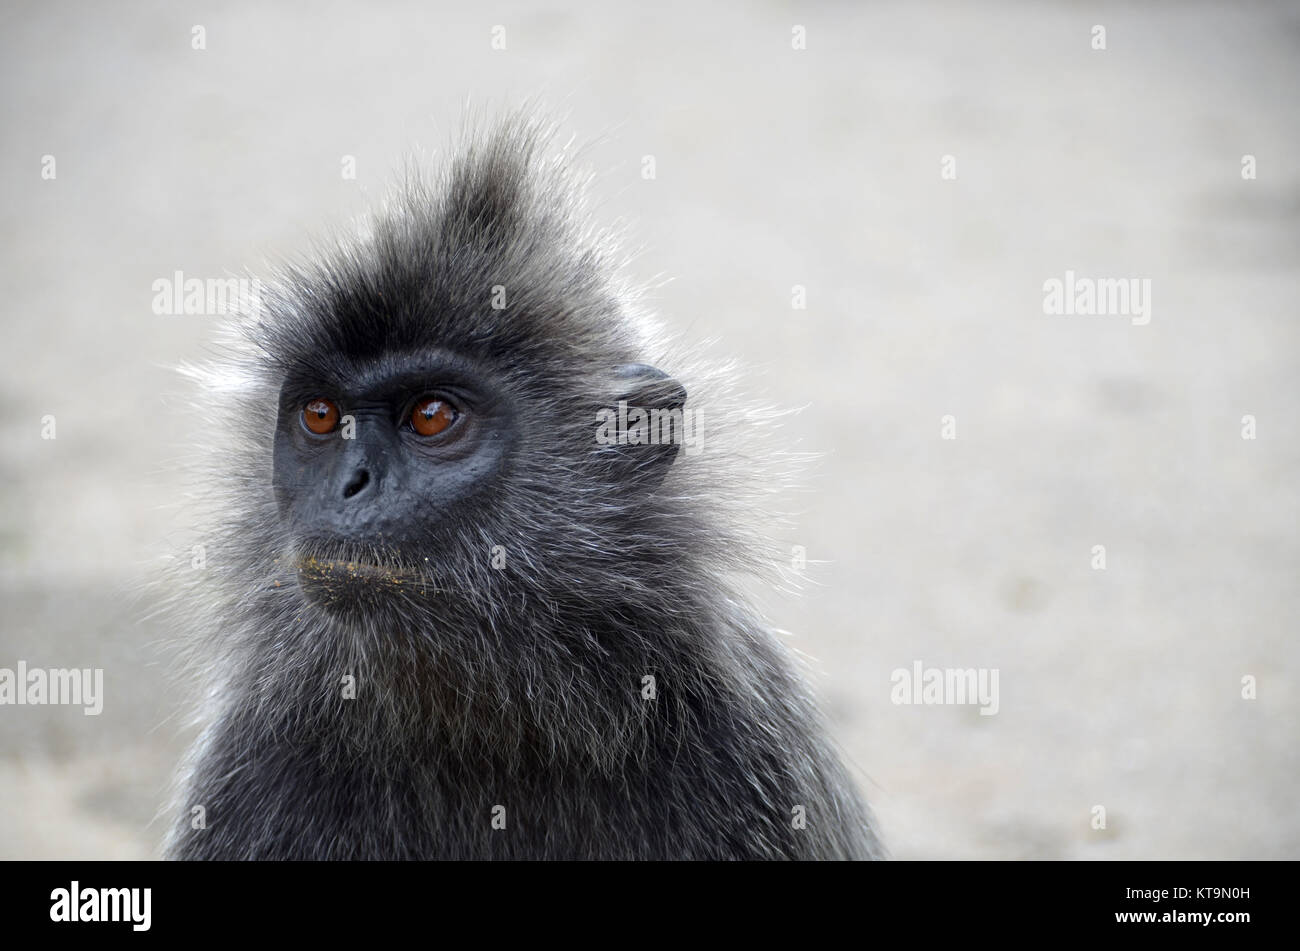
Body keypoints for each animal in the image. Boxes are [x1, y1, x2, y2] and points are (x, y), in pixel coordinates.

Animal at [163, 115, 883, 860]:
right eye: (321, 416)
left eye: (432, 415)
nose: (351, 484)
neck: (492, 707)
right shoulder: (252, 757)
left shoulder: (753, 744)